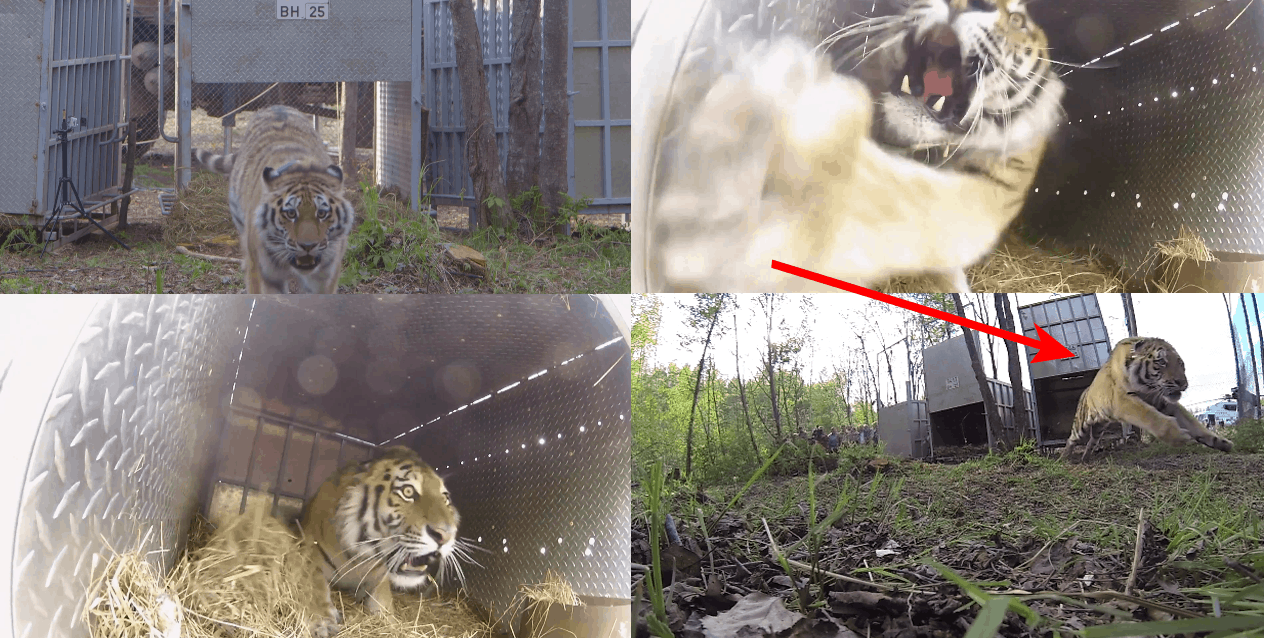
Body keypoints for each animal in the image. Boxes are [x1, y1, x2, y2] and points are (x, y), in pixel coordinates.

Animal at [193, 105, 353, 294]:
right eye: (291, 213)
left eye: (322, 213)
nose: (308, 246)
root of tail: (276, 106)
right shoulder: (268, 274)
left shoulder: (324, 279)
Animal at [296, 445, 464, 637]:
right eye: (407, 491)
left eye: (445, 498)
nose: (446, 535)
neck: (358, 560)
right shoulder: (308, 554)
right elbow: (313, 587)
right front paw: (322, 622)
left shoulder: (379, 579)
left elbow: (384, 606)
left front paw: (392, 624)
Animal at [1060, 337, 1234, 462]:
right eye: (1162, 361)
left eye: (1181, 363)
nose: (1182, 383)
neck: (1148, 388)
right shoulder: (1124, 400)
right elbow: (1152, 418)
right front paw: (1179, 436)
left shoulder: (1166, 404)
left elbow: (1194, 424)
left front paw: (1221, 442)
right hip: (1081, 425)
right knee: (1071, 439)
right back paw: (1064, 458)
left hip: (1099, 428)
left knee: (1092, 440)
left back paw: (1086, 457)